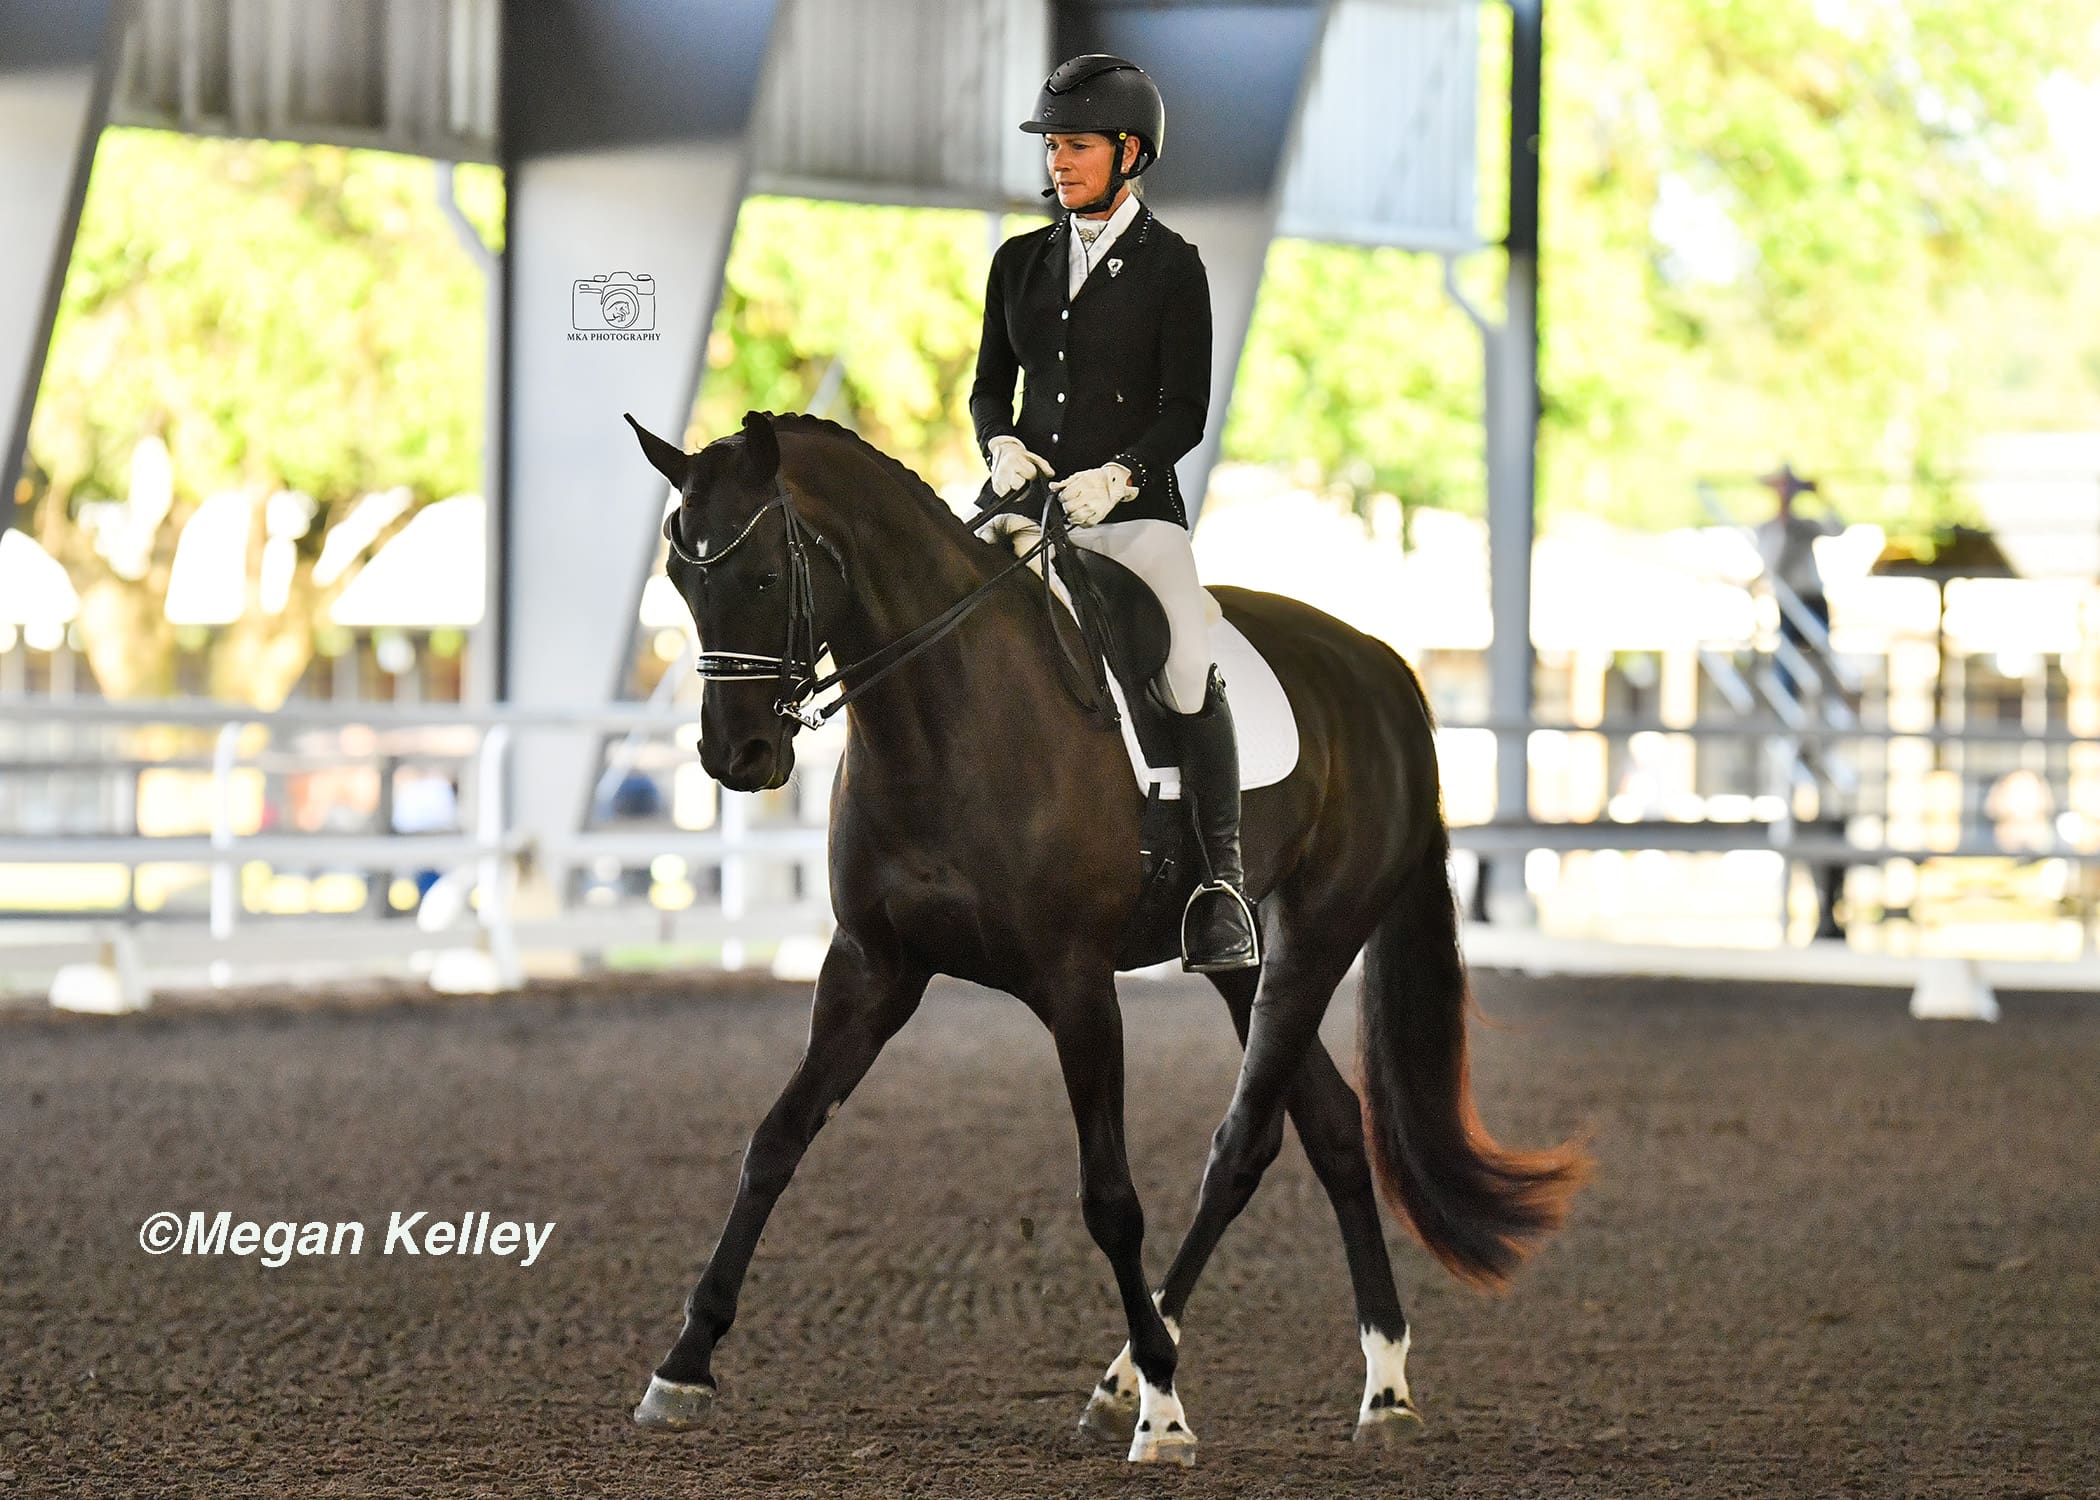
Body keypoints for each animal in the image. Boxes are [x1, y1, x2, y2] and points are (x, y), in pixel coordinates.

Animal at [623, 408, 1586, 1466]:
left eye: (760, 576)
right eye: (680, 580)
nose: (737, 756)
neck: (949, 715)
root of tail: (1381, 666)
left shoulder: (1077, 985)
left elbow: (1111, 1198)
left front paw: (1166, 1413)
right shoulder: (872, 968)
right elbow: (775, 1141)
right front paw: (683, 1363)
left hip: (1316, 937)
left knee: (1240, 1144)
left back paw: (1145, 1376)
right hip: (1242, 961)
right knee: (1329, 1127)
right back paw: (1378, 1385)